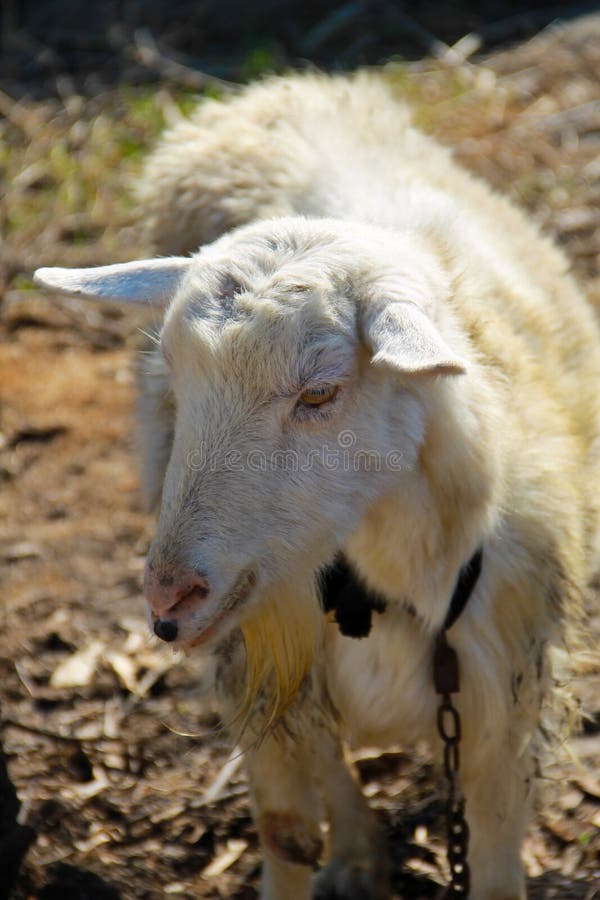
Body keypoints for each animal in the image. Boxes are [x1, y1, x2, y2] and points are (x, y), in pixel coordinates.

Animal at [34, 73, 600, 900]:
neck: (379, 584)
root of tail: (280, 88)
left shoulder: (505, 714)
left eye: (321, 392)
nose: (170, 596)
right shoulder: (261, 675)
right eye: (172, 377)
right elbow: (286, 833)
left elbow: (496, 864)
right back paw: (358, 855)